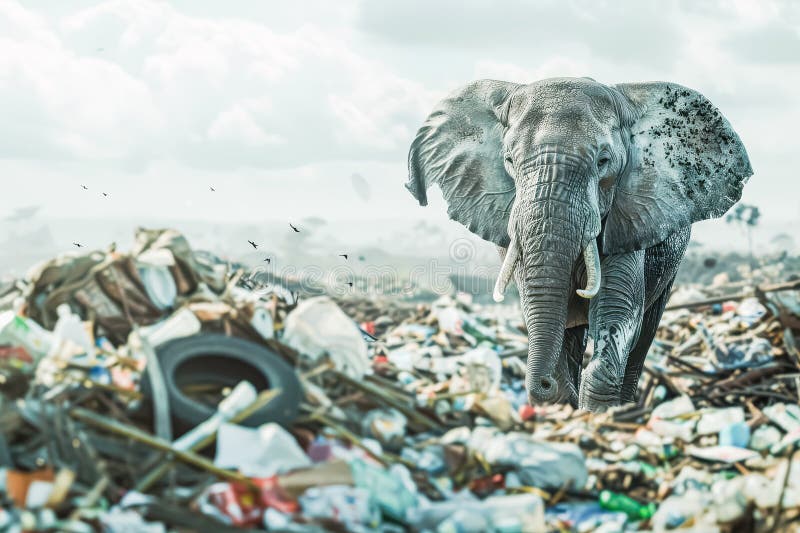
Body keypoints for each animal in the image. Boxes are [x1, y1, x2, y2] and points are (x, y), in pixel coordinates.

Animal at [405, 77, 752, 411]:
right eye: (509, 160)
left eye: (603, 161)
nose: (543, 385)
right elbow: (542, 310)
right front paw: (564, 399)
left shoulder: (628, 219)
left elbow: (618, 310)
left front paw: (595, 410)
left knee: (645, 330)